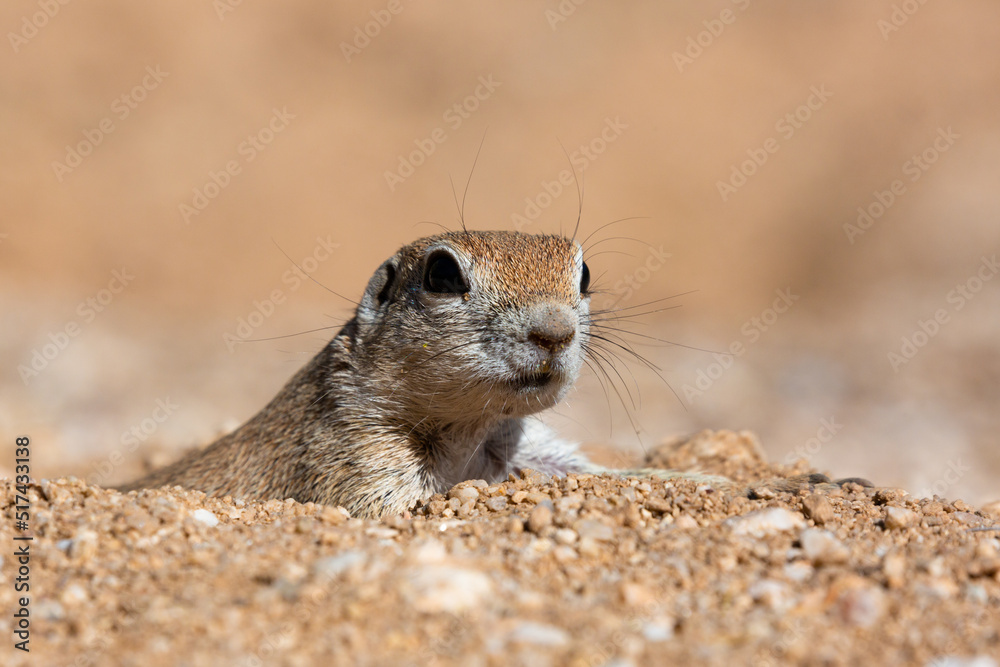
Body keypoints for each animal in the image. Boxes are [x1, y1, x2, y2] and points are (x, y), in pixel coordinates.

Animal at [120, 230, 860, 518]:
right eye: (443, 273)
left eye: (583, 273)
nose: (554, 330)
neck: (470, 433)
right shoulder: (356, 458)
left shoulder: (535, 451)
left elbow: (626, 474)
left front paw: (799, 479)